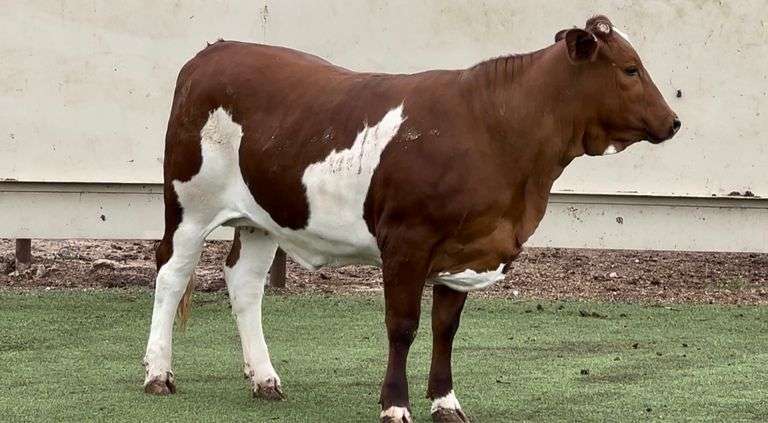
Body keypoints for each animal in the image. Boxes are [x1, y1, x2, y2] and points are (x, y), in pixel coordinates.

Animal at [142, 15, 679, 422]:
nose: (674, 122)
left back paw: (265, 379)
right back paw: (158, 374)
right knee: (171, 273)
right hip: (189, 204)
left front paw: (446, 403)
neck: (497, 130)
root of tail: (215, 50)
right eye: (631, 69)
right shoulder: (407, 240)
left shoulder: (467, 249)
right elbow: (402, 325)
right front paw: (395, 406)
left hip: (263, 217)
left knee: (245, 282)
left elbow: (445, 329)